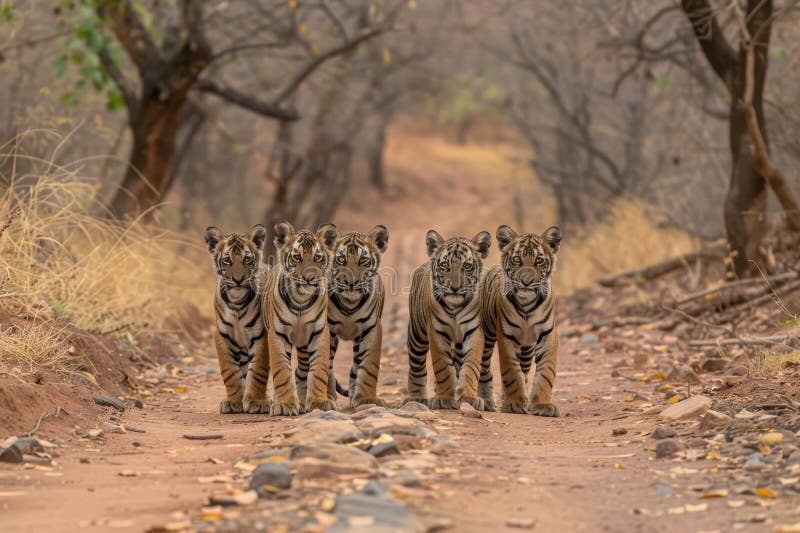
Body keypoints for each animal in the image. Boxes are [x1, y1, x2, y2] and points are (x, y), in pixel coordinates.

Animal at [204, 225, 270, 414]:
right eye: (227, 260)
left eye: (247, 259)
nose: (238, 280)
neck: (237, 302)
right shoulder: (223, 336)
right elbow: (230, 372)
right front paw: (233, 402)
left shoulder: (261, 335)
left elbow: (258, 371)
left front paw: (256, 402)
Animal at [262, 221, 338, 416]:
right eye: (297, 257)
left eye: (318, 257)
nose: (309, 278)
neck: (300, 299)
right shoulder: (277, 334)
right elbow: (282, 371)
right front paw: (285, 404)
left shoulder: (319, 332)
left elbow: (318, 370)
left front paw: (318, 402)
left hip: (304, 346)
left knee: (302, 370)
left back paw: (305, 401)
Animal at [326, 225, 389, 409]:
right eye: (341, 260)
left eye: (363, 260)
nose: (351, 283)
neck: (350, 303)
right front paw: (326, 397)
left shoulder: (371, 328)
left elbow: (368, 365)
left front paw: (366, 399)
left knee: (355, 367)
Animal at [405, 230, 492, 410]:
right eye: (445, 266)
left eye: (467, 266)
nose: (455, 288)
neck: (454, 308)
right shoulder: (436, 331)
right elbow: (443, 367)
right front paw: (444, 398)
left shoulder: (474, 331)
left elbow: (471, 365)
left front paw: (468, 397)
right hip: (416, 336)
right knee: (416, 367)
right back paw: (417, 399)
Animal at [480, 225, 562, 417]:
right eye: (517, 259)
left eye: (539, 260)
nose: (526, 282)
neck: (527, 303)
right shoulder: (507, 336)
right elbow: (511, 371)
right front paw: (515, 404)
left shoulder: (548, 334)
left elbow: (545, 372)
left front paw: (543, 405)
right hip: (487, 337)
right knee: (485, 370)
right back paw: (486, 401)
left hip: (527, 347)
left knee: (524, 371)